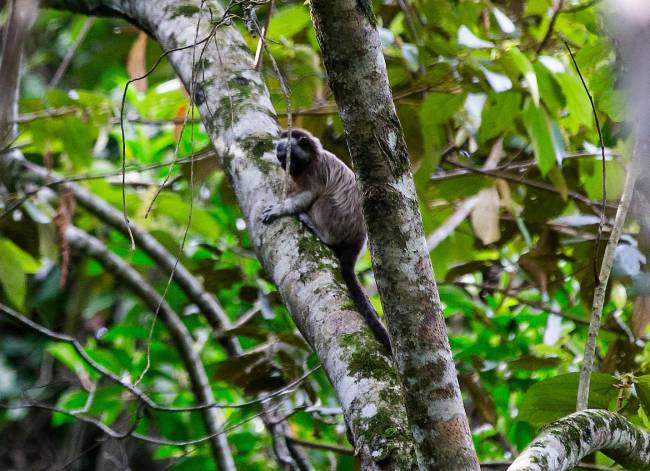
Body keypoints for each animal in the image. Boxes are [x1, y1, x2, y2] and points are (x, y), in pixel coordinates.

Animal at [262, 128, 392, 354]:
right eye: (279, 157)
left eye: (285, 154)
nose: (282, 162)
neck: (308, 162)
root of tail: (358, 238)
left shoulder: (315, 172)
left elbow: (308, 195)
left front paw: (282, 209)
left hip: (337, 220)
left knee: (322, 201)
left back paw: (320, 231)